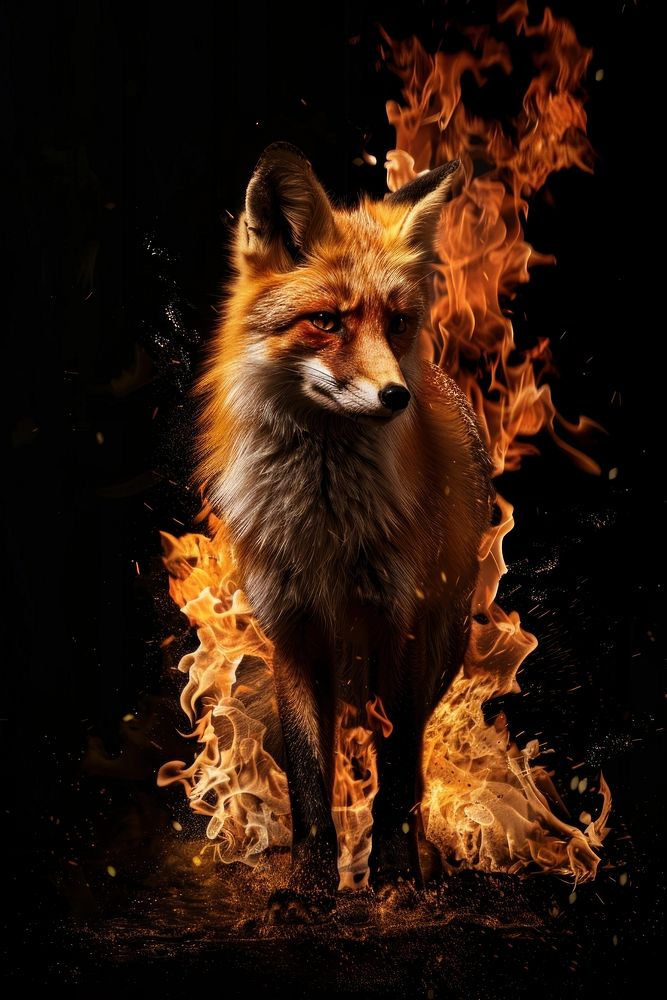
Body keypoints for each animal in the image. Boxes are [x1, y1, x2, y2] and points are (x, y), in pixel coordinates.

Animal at [197, 142, 493, 910]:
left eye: (397, 322)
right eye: (327, 322)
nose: (396, 395)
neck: (326, 528)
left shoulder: (403, 627)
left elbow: (395, 773)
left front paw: (395, 878)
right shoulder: (292, 630)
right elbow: (307, 782)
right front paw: (308, 885)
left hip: (445, 637)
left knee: (410, 763)